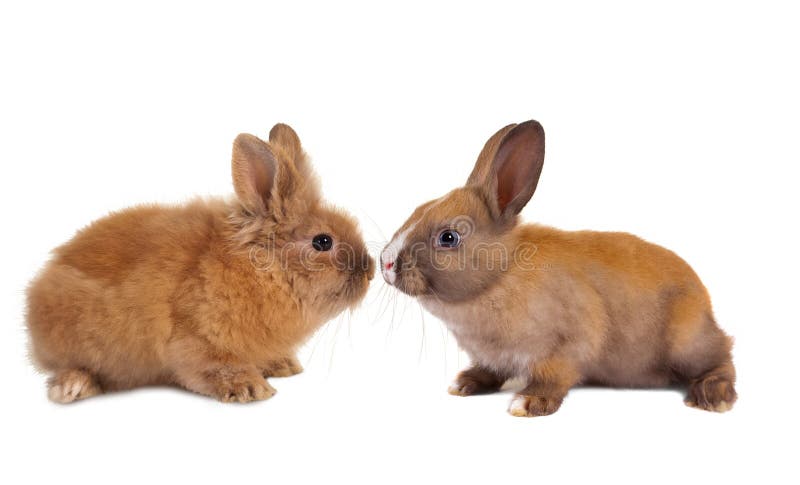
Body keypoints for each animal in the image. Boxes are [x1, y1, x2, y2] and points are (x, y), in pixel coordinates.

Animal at [26, 123, 375, 403]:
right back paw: (72, 387)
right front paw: (249, 388)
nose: (369, 270)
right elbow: (209, 367)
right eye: (322, 242)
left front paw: (282, 366)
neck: (265, 271)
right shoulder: (197, 341)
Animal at [379, 120, 736, 417]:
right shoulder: (493, 356)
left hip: (686, 340)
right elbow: (490, 370)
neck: (502, 275)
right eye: (417, 211)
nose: (386, 262)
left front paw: (528, 402)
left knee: (723, 356)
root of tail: (706, 306)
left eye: (448, 237)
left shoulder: (569, 344)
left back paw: (713, 396)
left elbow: (553, 376)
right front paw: (465, 383)